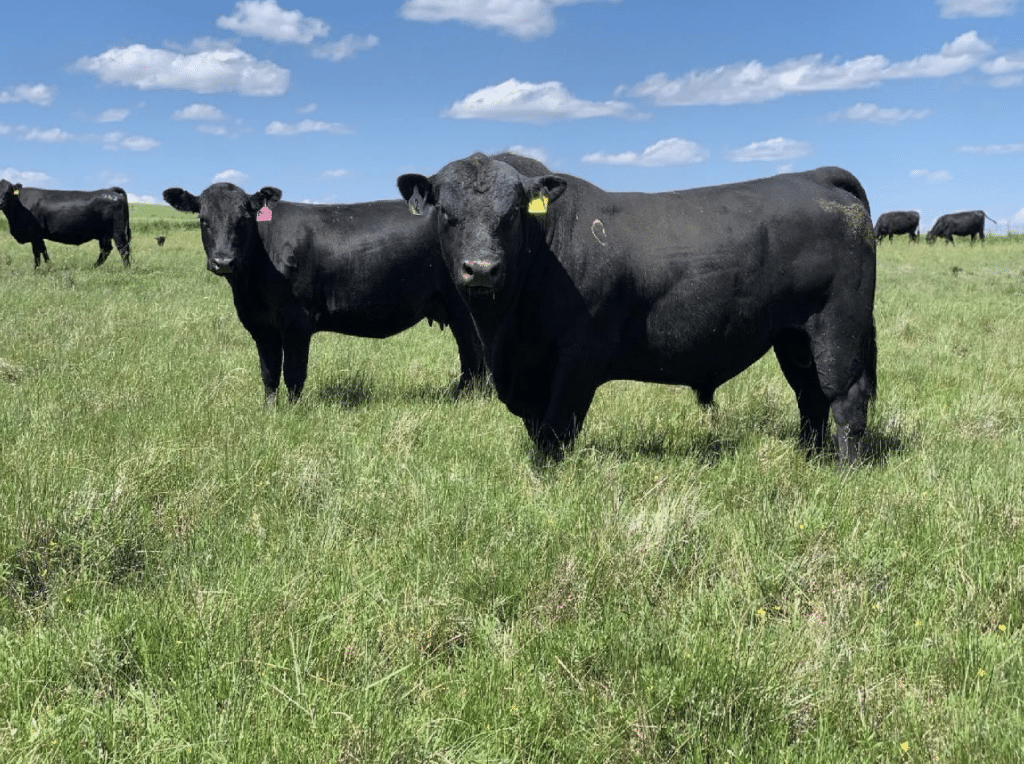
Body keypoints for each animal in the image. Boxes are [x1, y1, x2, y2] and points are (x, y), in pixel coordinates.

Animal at [0, 180, 131, 268]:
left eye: (8, 191)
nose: (0, 202)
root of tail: (110, 190)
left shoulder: (35, 234)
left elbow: (37, 252)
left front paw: (37, 270)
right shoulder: (39, 236)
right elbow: (43, 250)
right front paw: (49, 266)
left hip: (118, 230)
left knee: (123, 249)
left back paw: (126, 269)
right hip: (104, 234)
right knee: (105, 250)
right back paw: (94, 267)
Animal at [162, 182, 485, 404]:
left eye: (243, 218)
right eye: (203, 219)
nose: (223, 261)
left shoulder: (296, 322)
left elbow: (293, 374)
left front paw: (292, 413)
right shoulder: (260, 326)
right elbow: (269, 374)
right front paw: (270, 411)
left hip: (464, 307)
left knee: (474, 356)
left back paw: (467, 399)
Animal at [399, 154, 878, 463]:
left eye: (513, 212)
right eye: (446, 212)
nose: (481, 268)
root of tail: (815, 177)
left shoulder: (578, 358)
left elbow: (557, 429)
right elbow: (539, 429)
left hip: (838, 324)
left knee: (845, 396)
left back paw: (845, 468)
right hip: (793, 336)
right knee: (809, 395)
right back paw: (808, 458)